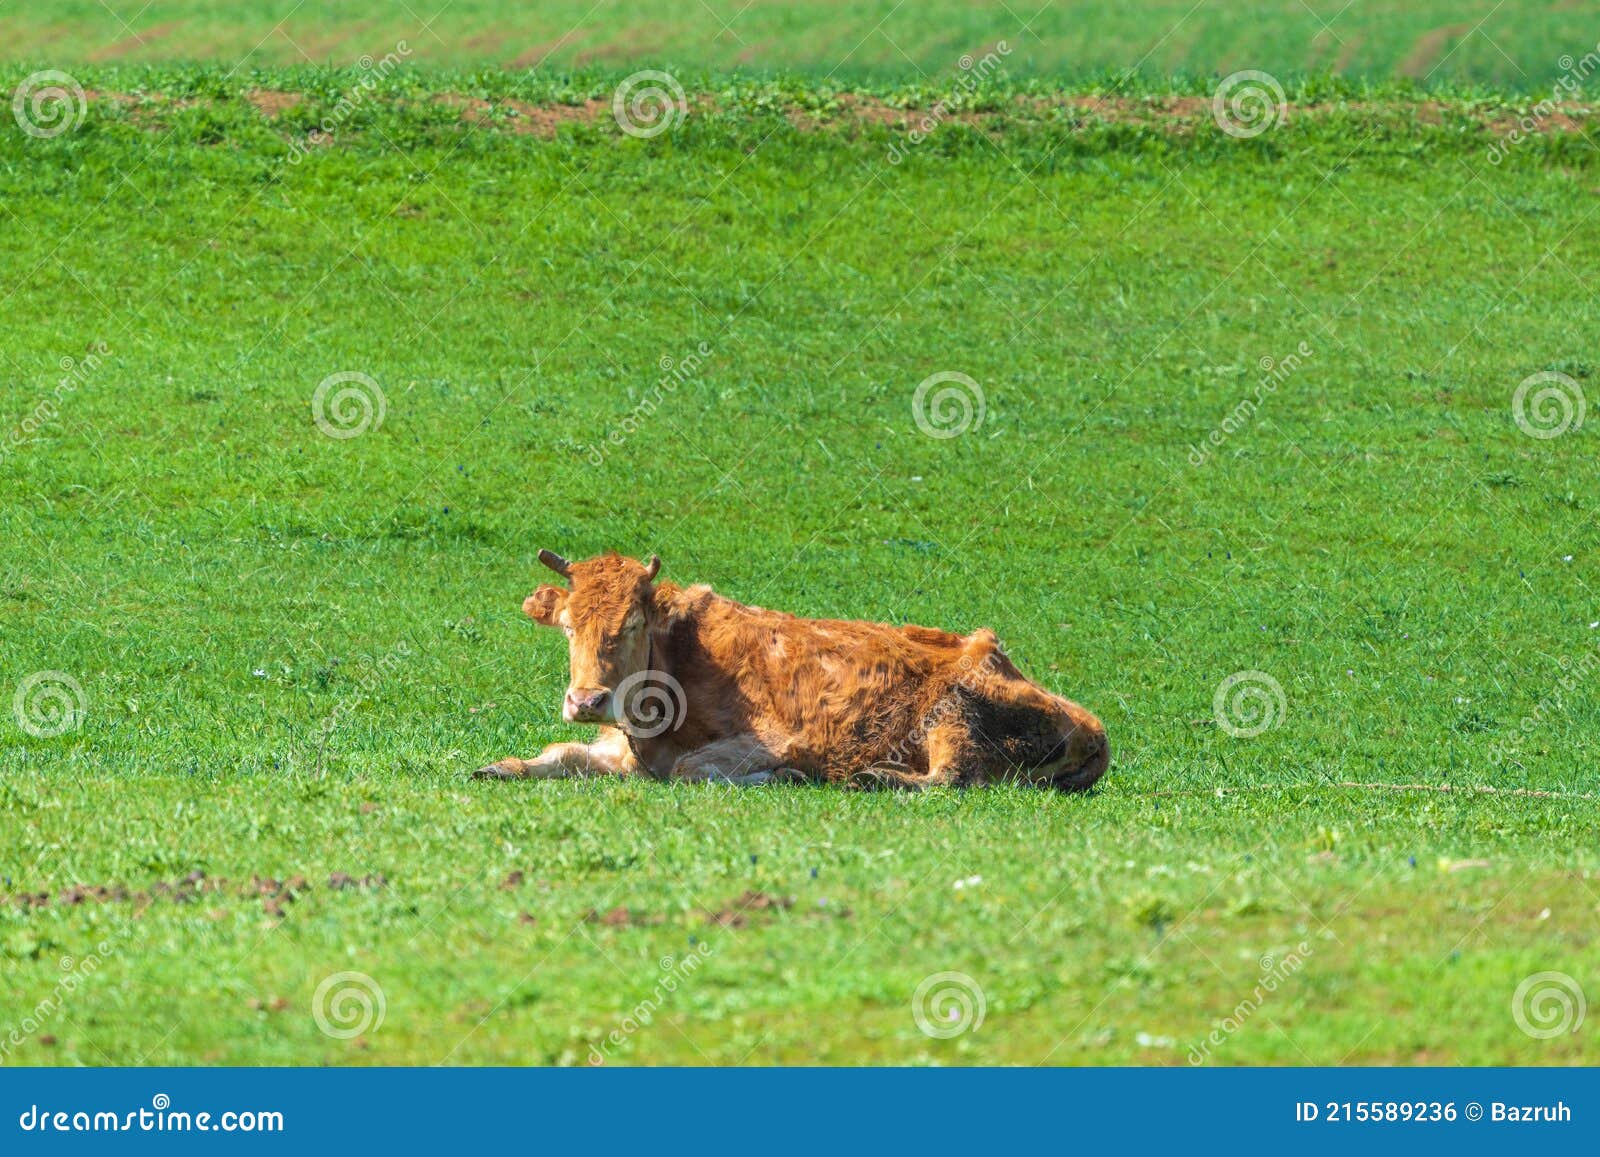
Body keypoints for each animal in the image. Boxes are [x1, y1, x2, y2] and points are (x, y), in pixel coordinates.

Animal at [472, 550, 1109, 790]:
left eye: (631, 623)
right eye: (568, 626)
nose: (586, 701)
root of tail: (1094, 727)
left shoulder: (768, 740)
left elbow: (694, 770)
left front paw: (781, 776)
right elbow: (561, 753)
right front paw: (500, 766)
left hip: (955, 715)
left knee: (947, 779)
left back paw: (869, 777)